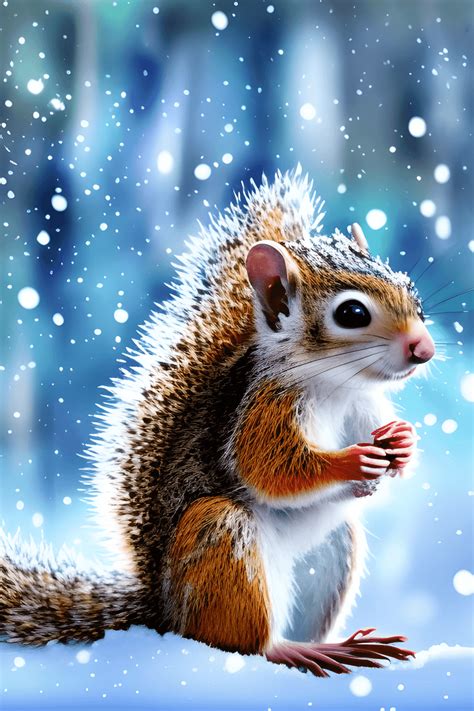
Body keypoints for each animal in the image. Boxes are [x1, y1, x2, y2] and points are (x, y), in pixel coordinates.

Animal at [0, 167, 435, 677]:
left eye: (413, 294)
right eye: (352, 313)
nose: (423, 348)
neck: (337, 384)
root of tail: (165, 610)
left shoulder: (365, 407)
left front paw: (401, 445)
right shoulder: (263, 410)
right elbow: (269, 470)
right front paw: (351, 463)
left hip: (330, 554)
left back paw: (334, 646)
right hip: (222, 542)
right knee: (240, 641)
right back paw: (293, 650)